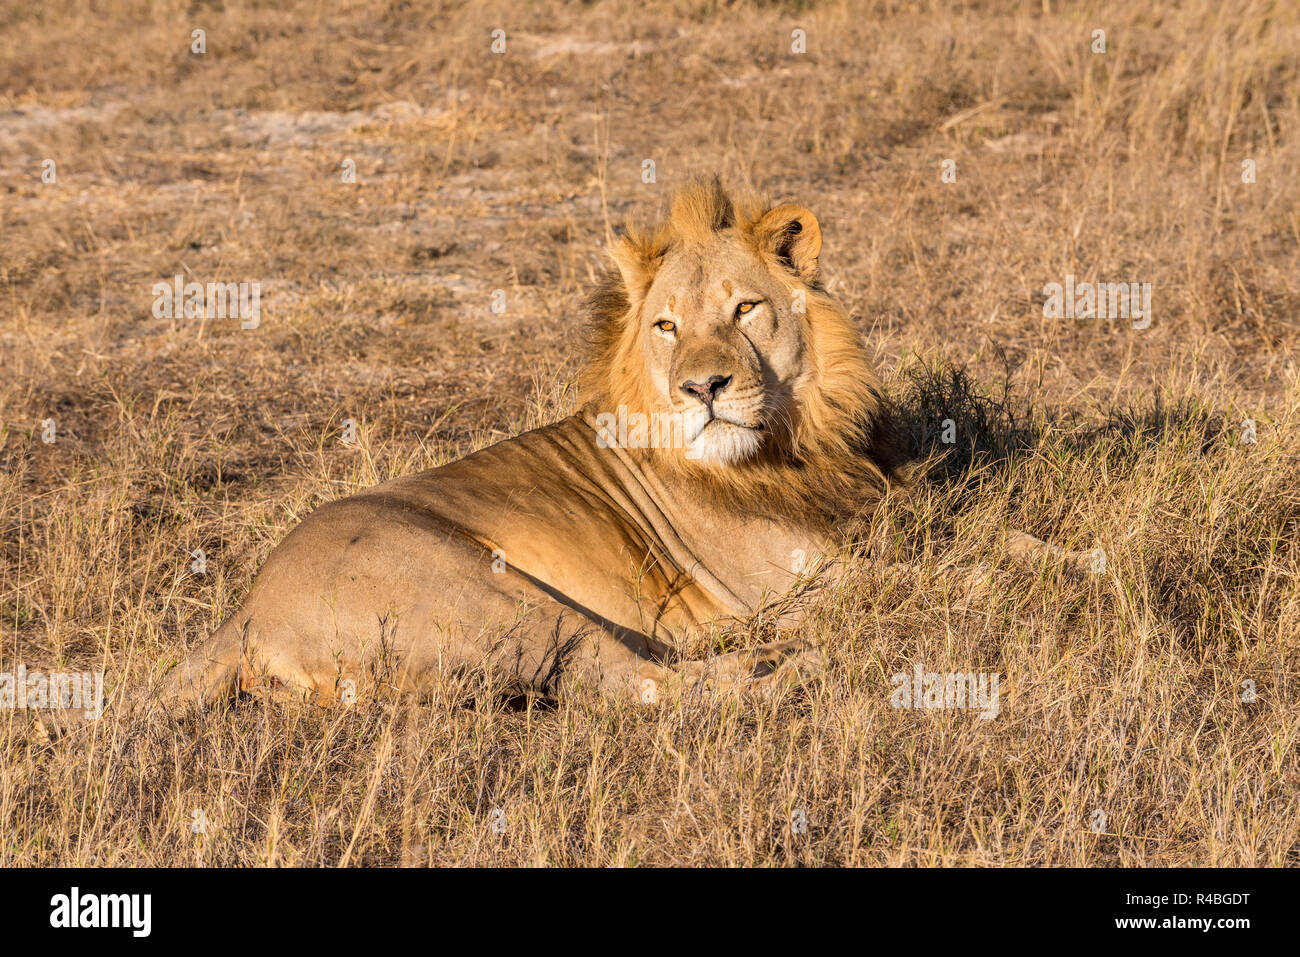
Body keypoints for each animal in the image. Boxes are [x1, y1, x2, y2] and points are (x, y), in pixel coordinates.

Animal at [162, 179, 1081, 709]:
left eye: (745, 308)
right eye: (667, 326)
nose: (703, 389)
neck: (800, 440)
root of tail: (245, 611)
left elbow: (1007, 542)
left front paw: (1082, 562)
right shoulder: (800, 581)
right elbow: (948, 579)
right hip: (504, 602)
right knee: (635, 688)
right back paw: (783, 674)